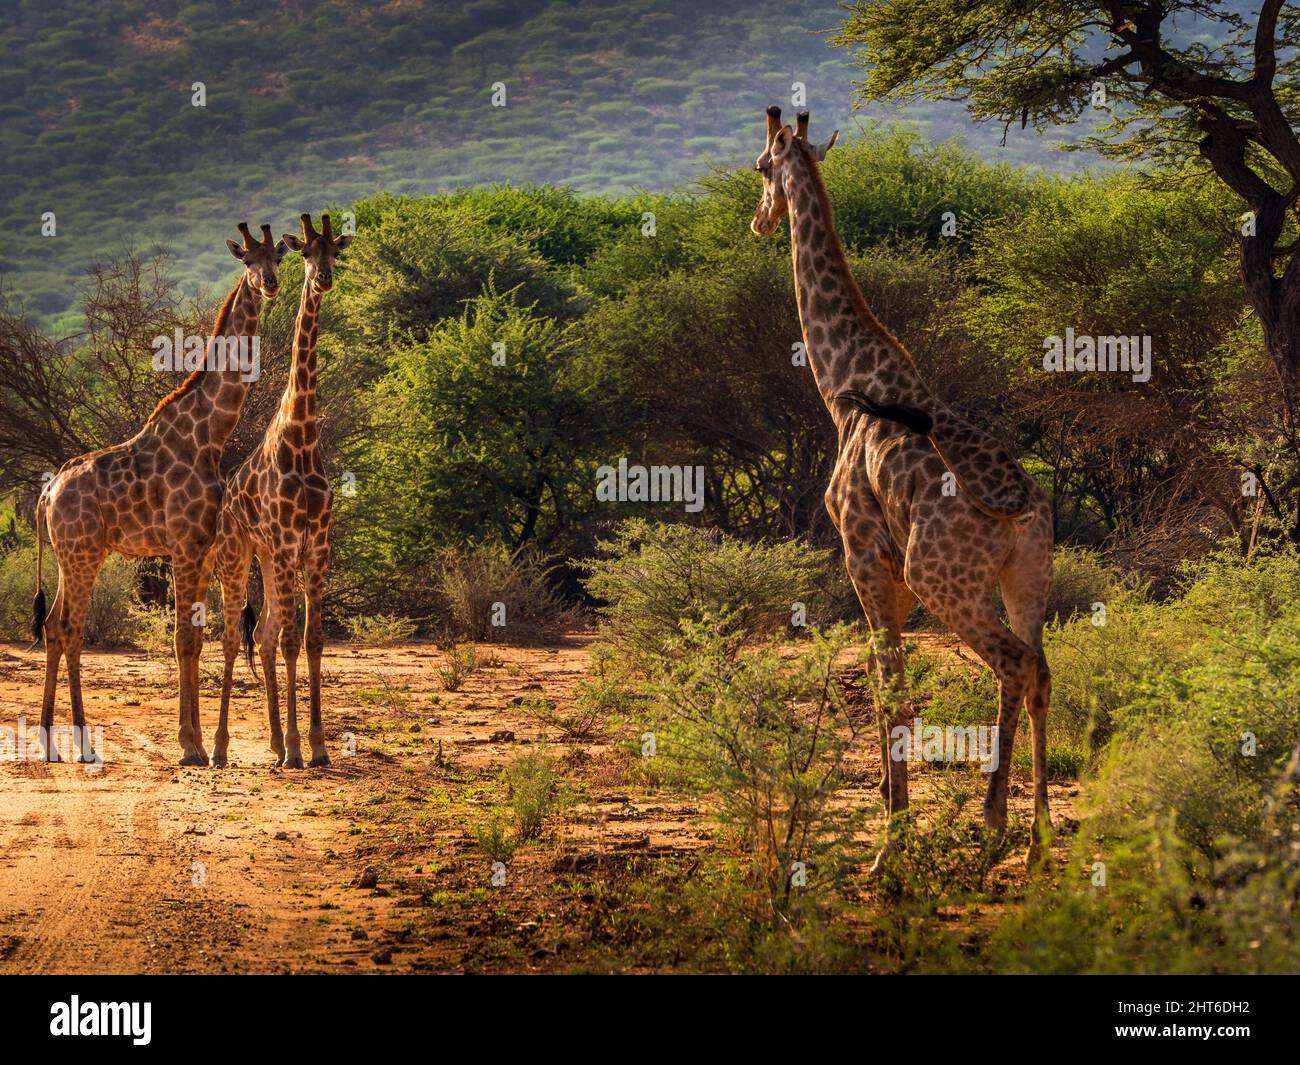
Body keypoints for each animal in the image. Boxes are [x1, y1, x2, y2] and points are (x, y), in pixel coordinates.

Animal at [32, 223, 286, 764]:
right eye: (247, 261)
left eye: (278, 257)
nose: (269, 283)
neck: (209, 435)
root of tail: (47, 495)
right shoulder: (184, 546)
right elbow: (183, 639)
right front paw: (190, 745)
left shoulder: (203, 547)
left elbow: (195, 637)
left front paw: (199, 742)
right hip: (83, 553)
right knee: (70, 629)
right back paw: (82, 744)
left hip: (69, 555)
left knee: (55, 626)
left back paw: (47, 743)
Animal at [210, 213, 351, 769]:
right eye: (306, 253)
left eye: (336, 251)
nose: (324, 278)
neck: (302, 435)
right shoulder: (291, 543)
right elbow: (292, 640)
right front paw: (296, 749)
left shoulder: (317, 545)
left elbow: (311, 641)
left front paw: (317, 746)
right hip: (236, 552)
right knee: (234, 637)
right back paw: (219, 747)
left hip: (268, 556)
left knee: (263, 635)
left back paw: (270, 739)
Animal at [751, 107, 1055, 871]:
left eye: (759, 167)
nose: (760, 220)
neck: (843, 385)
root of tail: (1019, 509)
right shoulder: (895, 574)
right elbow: (889, 682)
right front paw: (895, 825)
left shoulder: (864, 553)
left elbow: (893, 694)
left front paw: (891, 848)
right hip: (1026, 576)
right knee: (1042, 667)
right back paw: (1038, 841)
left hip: (946, 579)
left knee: (1013, 665)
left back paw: (994, 825)